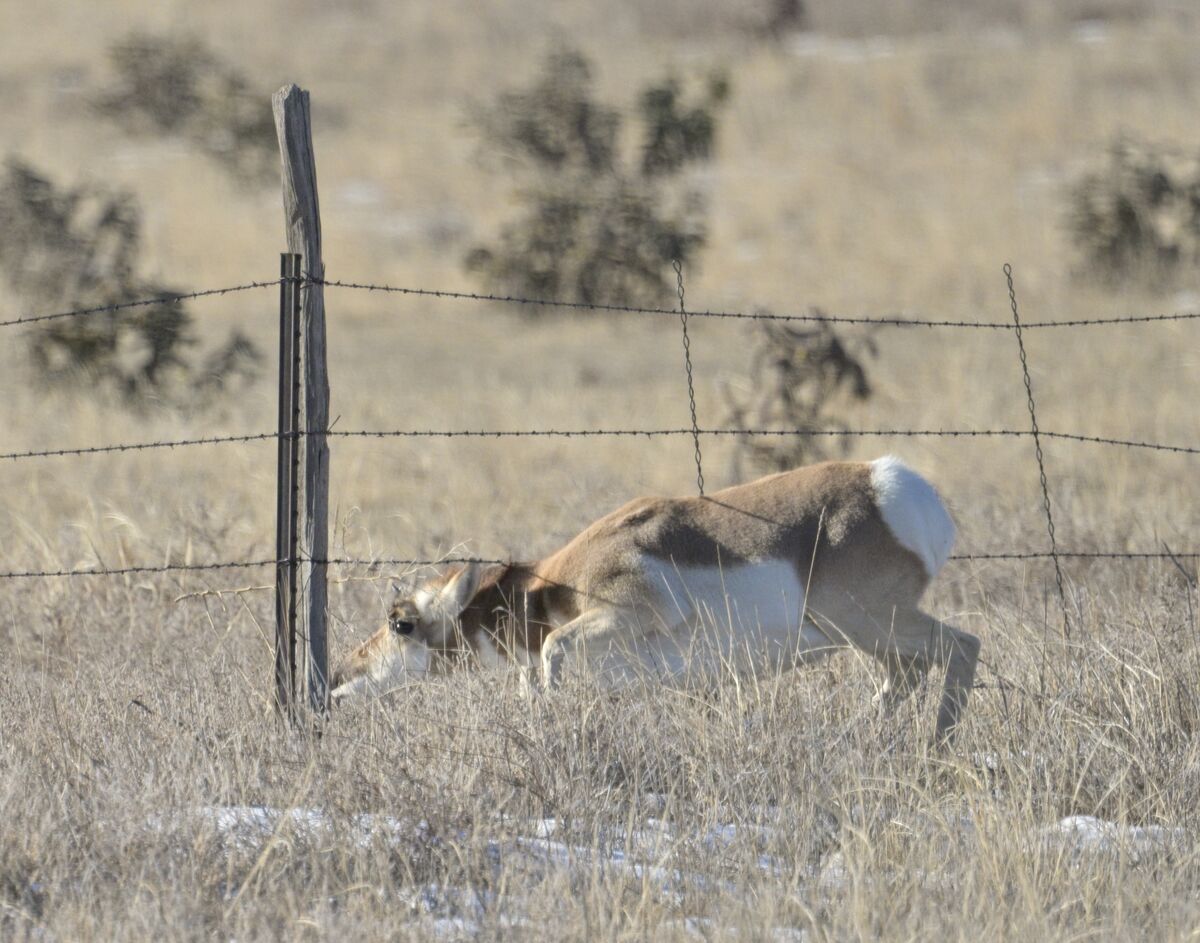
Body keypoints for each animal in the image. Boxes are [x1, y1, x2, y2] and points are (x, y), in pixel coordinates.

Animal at [331, 457, 980, 742]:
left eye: (401, 623)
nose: (338, 677)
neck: (548, 585)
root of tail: (894, 480)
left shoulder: (627, 611)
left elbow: (554, 650)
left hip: (868, 622)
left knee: (961, 647)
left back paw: (935, 747)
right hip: (866, 635)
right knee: (906, 676)